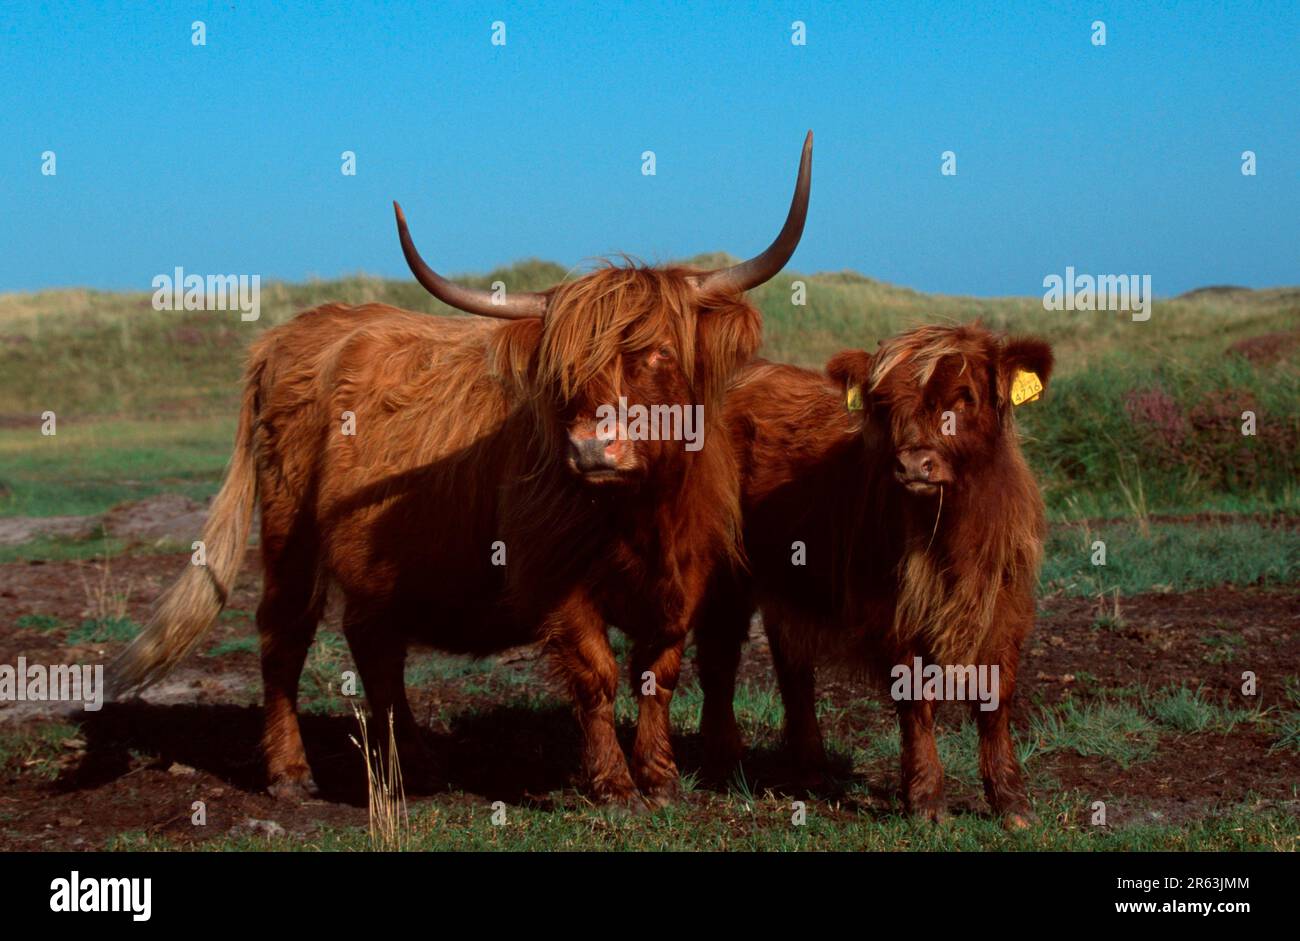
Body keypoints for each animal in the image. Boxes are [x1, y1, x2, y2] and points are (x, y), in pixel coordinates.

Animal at [109, 133, 813, 810]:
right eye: (560, 372)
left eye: (661, 352)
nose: (592, 451)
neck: (642, 516)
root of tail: (293, 333)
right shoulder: (555, 578)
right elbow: (597, 674)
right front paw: (615, 788)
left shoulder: (688, 577)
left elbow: (657, 676)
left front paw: (661, 778)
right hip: (288, 531)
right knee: (284, 637)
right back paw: (290, 773)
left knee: (374, 643)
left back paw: (416, 768)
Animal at [694, 322, 1052, 828]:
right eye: (883, 403)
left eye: (964, 397)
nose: (913, 464)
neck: (953, 532)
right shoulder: (895, 614)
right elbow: (916, 701)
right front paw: (926, 801)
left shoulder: (1007, 610)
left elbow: (996, 701)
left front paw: (1012, 801)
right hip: (724, 571)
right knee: (719, 658)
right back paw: (724, 761)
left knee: (791, 664)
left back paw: (812, 768)